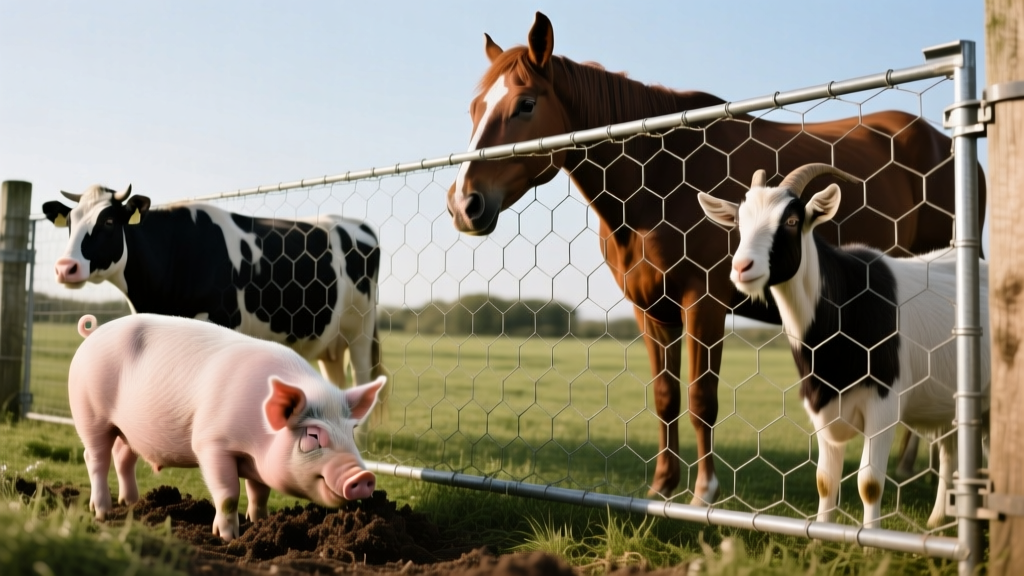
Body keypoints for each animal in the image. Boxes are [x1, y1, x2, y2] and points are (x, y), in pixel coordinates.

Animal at [42, 184, 385, 389]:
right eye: (70, 222)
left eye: (110, 221)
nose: (65, 268)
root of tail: (354, 223)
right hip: (330, 341)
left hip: (361, 331)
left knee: (363, 377)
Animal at [696, 164, 990, 529]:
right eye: (738, 222)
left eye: (791, 221)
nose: (741, 267)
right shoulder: (821, 409)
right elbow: (825, 480)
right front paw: (822, 534)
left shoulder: (884, 405)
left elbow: (869, 482)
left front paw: (872, 539)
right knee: (950, 451)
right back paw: (938, 520)